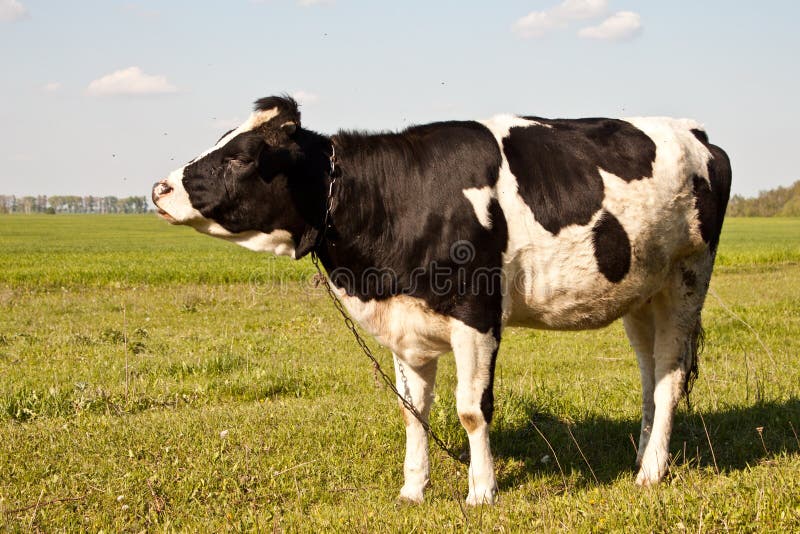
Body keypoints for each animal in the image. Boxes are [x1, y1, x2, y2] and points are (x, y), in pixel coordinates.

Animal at [152, 95, 731, 505]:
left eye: (240, 157)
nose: (159, 189)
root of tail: (698, 134)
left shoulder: (476, 316)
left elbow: (472, 411)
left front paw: (482, 491)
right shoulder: (404, 324)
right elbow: (413, 411)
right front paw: (412, 490)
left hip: (687, 280)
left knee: (670, 376)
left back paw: (651, 473)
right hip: (640, 295)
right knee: (649, 379)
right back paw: (642, 456)